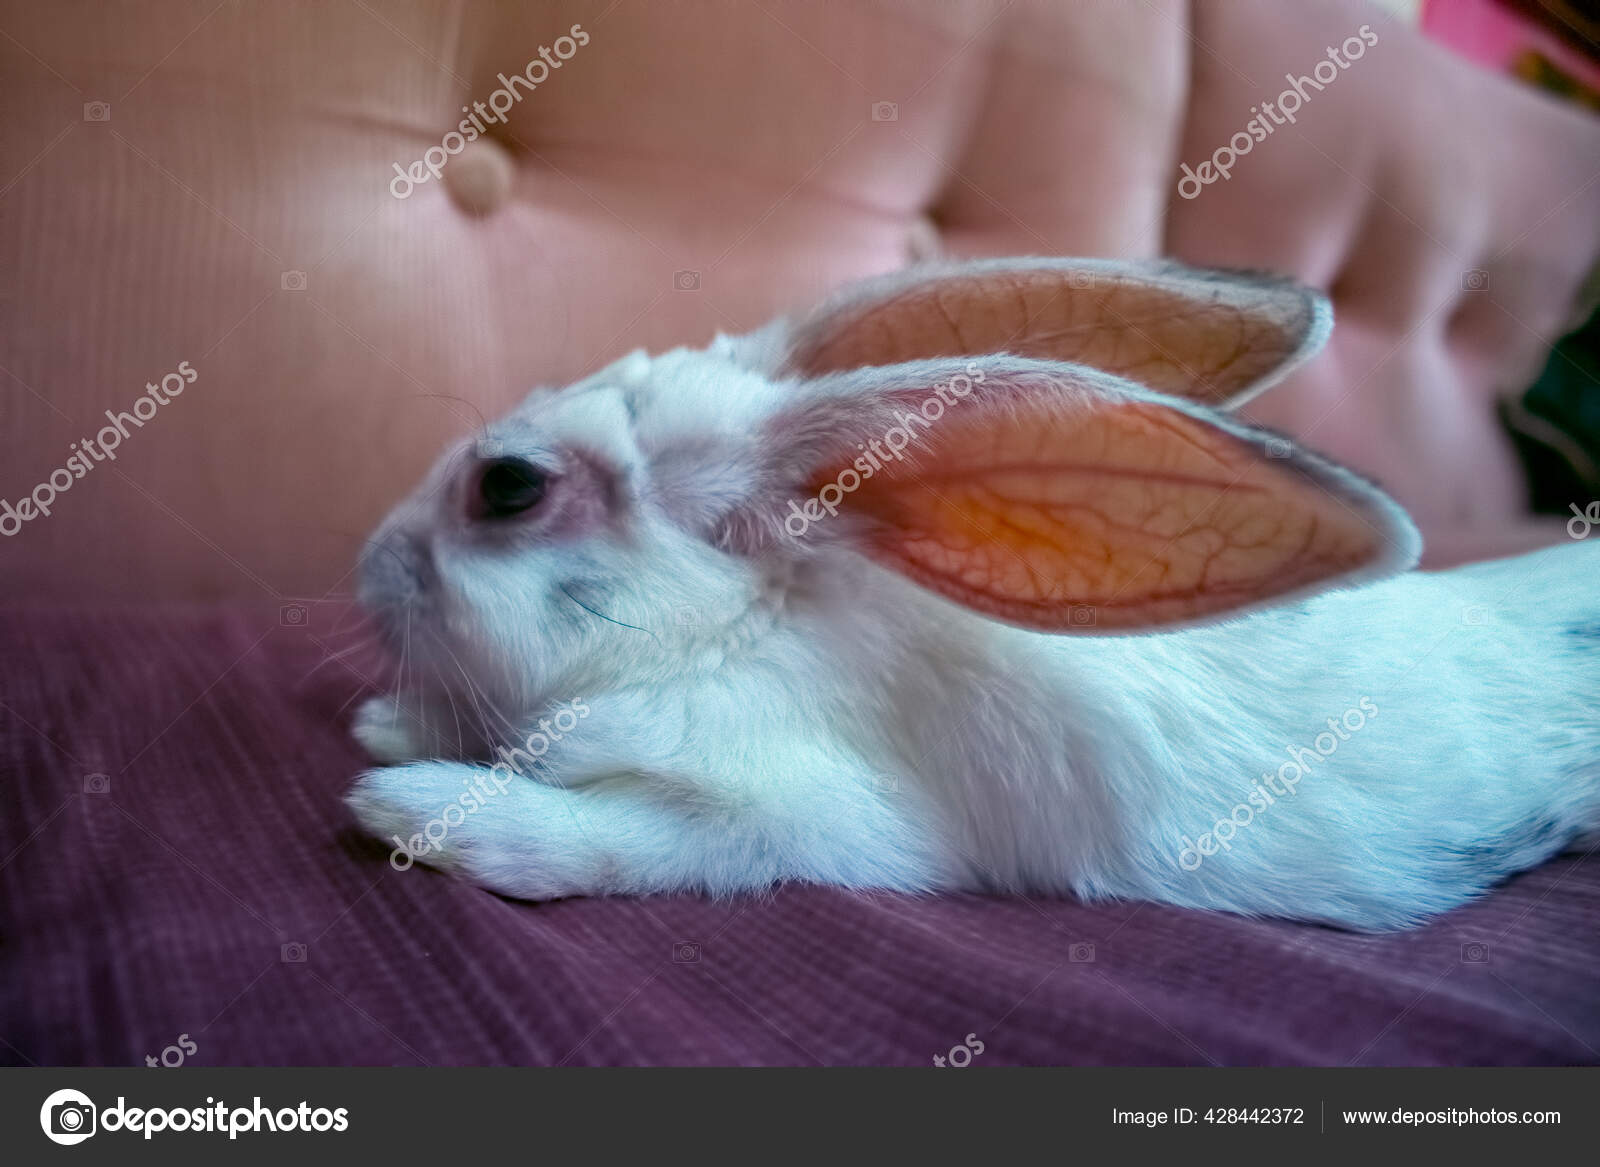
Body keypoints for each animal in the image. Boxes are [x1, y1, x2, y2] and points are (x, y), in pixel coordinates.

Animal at [346, 257, 1600, 930]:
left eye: (510, 486)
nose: (367, 565)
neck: (745, 628)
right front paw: (388, 724)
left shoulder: (784, 818)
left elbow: (601, 840)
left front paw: (402, 805)